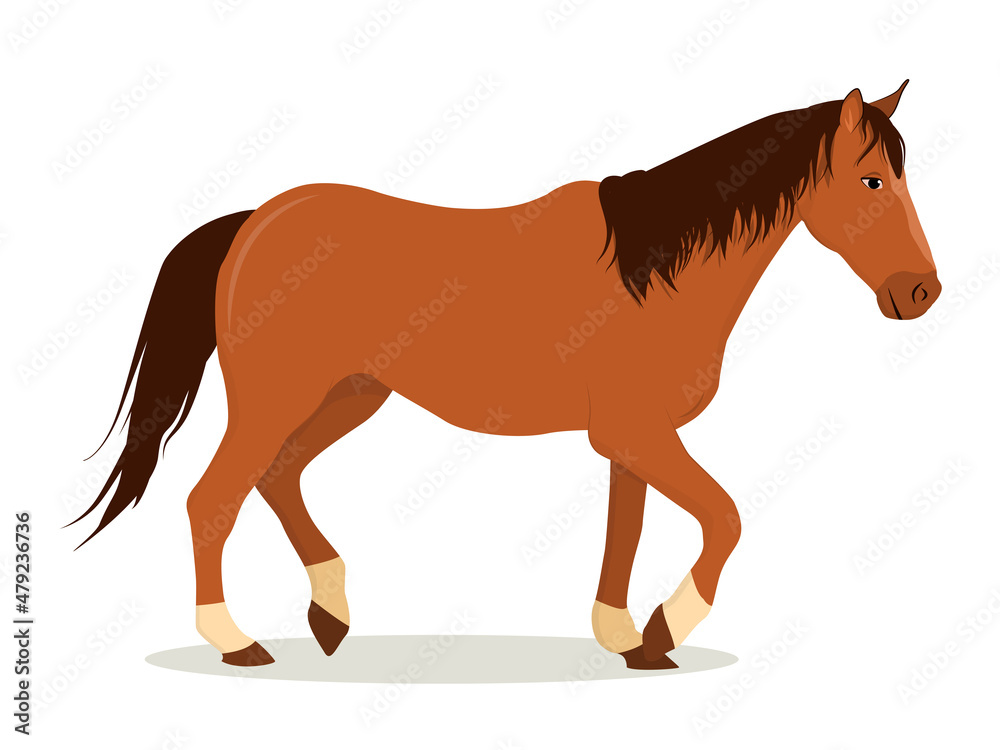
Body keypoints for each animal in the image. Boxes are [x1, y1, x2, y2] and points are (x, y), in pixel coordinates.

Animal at [73, 81, 939, 670]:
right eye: (872, 180)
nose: (920, 293)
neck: (655, 273)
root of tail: (252, 221)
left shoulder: (630, 438)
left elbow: (627, 529)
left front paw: (626, 636)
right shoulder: (636, 431)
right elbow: (724, 518)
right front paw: (668, 623)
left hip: (351, 395)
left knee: (277, 474)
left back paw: (330, 612)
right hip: (275, 396)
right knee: (214, 497)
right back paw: (236, 638)